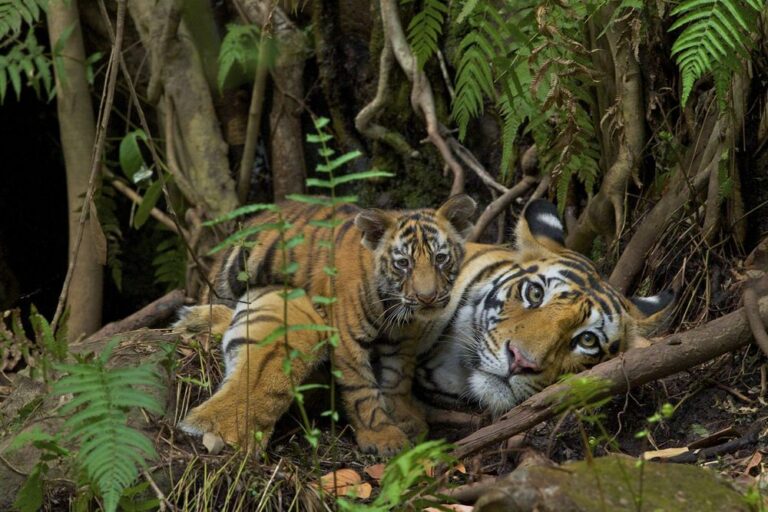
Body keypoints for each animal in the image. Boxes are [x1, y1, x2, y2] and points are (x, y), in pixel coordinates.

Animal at [176, 195, 477, 455]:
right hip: (230, 277)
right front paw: (383, 437)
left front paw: (405, 419)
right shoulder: (348, 338)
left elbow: (398, 378)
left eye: (441, 258)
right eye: (403, 263)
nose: (427, 297)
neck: (393, 306)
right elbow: (361, 389)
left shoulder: (401, 340)